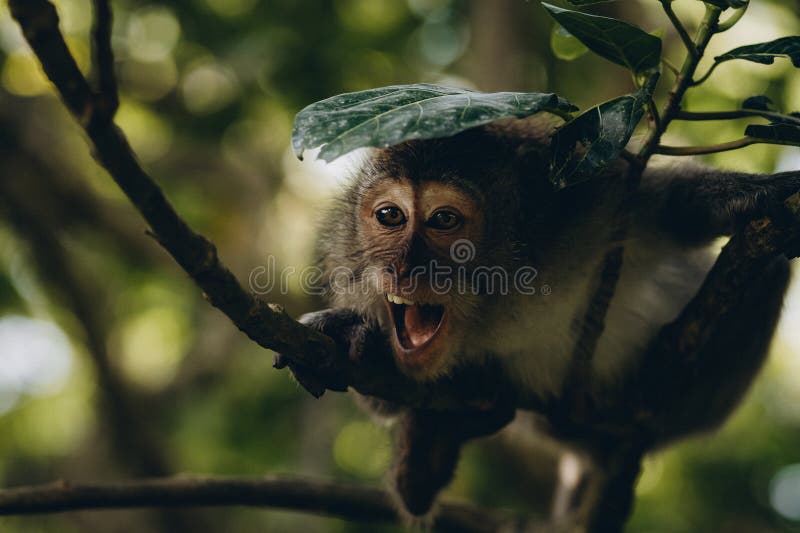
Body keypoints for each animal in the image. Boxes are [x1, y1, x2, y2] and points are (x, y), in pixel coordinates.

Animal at [275, 117, 800, 523]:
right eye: (389, 216)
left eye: (444, 220)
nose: (402, 269)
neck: (505, 298)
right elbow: (382, 392)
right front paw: (349, 332)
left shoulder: (590, 196)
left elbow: (671, 203)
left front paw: (748, 195)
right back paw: (429, 452)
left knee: (770, 267)